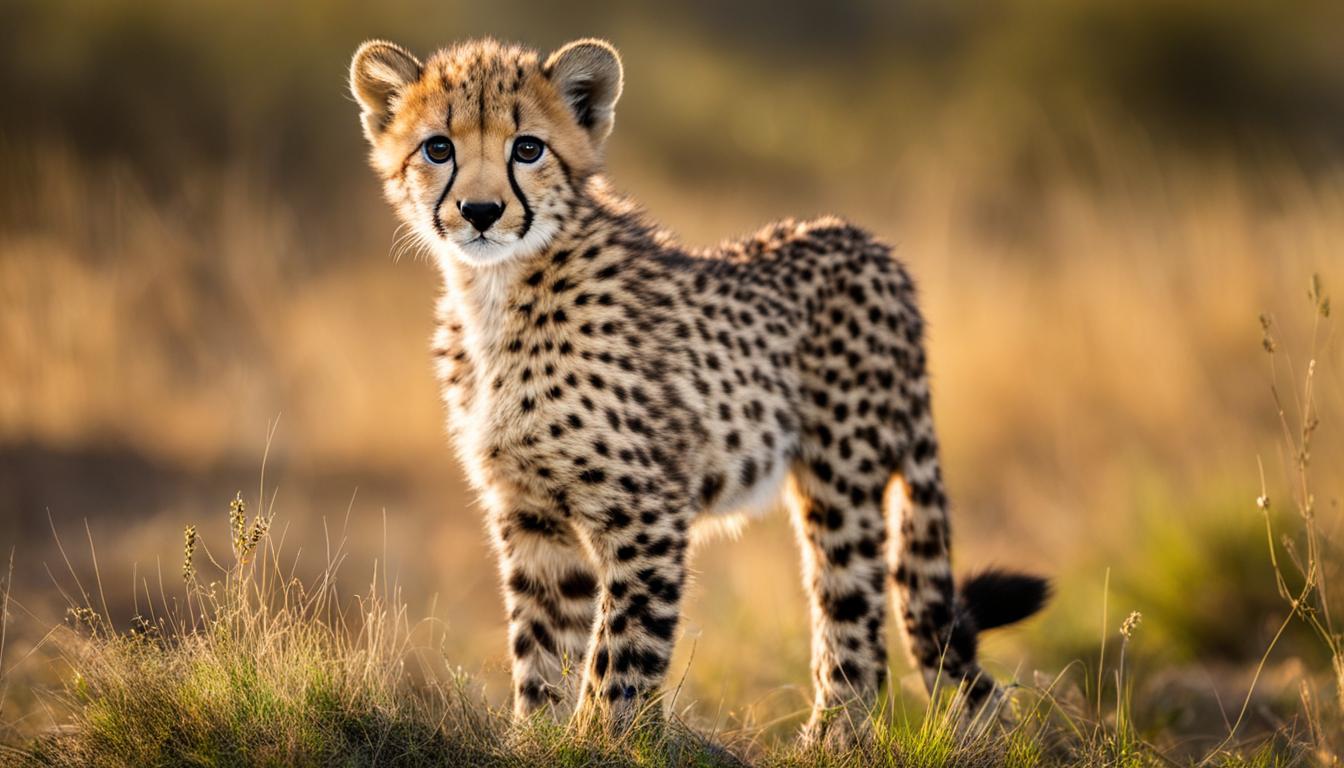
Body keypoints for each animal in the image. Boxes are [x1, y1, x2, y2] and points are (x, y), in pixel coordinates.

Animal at [350, 36, 1049, 746]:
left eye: (528, 148)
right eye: (439, 148)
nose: (482, 212)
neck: (495, 290)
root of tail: (873, 246)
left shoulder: (647, 512)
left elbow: (620, 655)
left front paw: (598, 740)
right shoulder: (531, 514)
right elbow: (543, 649)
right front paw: (536, 739)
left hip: (842, 485)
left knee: (857, 624)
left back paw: (828, 745)